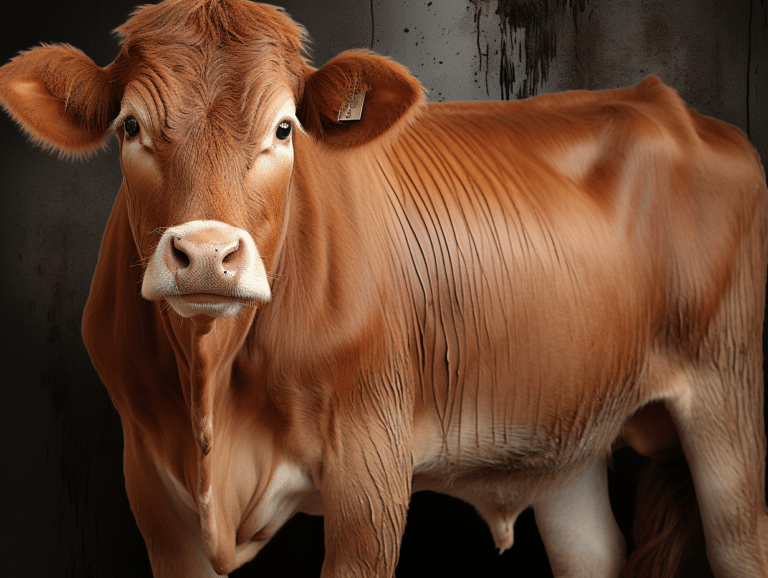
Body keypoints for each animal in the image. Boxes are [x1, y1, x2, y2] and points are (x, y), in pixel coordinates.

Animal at [1, 0, 767, 576]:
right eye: (131, 125)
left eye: (285, 127)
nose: (207, 257)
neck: (212, 384)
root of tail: (673, 107)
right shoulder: (154, 491)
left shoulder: (370, 472)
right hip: (566, 424)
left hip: (728, 392)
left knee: (740, 540)